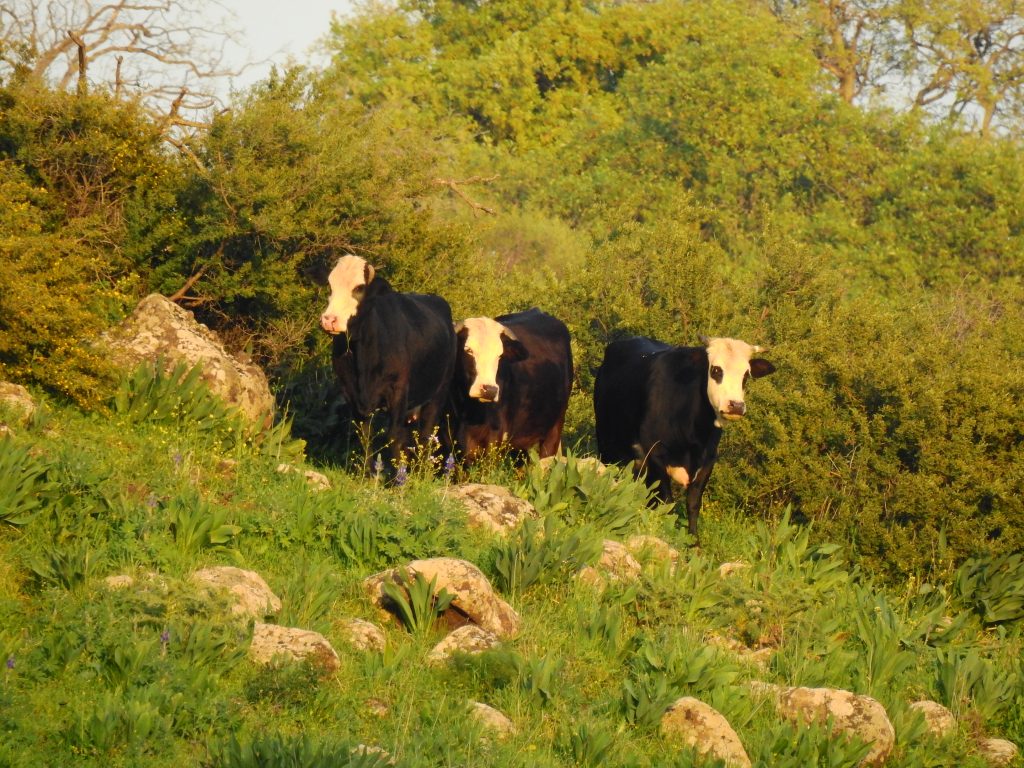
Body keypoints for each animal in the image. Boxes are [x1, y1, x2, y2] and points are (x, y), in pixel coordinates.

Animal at [320, 254, 457, 465]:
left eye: (359, 287)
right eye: (330, 285)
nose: (329, 319)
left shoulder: (398, 391)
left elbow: (393, 436)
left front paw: (396, 473)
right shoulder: (350, 392)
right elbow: (365, 435)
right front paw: (368, 470)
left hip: (438, 392)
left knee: (426, 434)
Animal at [593, 335, 775, 541]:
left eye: (746, 375)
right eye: (716, 370)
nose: (736, 406)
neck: (694, 437)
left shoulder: (708, 461)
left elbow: (693, 504)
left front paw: (694, 543)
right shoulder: (655, 455)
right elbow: (667, 502)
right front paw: (669, 536)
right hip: (607, 443)